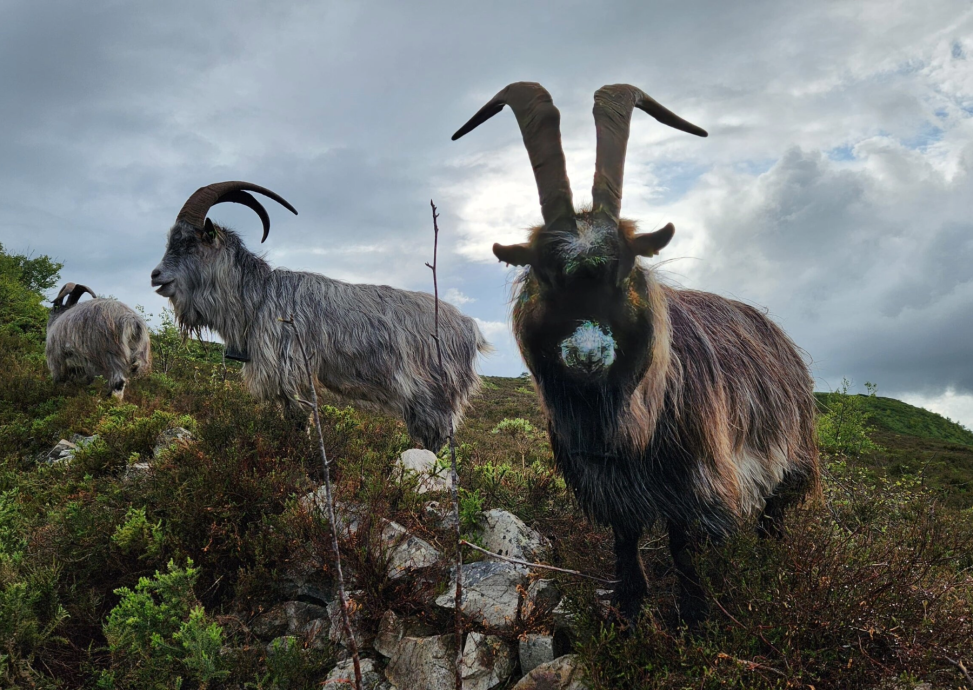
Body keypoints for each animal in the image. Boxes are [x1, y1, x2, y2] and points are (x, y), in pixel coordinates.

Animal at [150, 182, 489, 451]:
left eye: (190, 242)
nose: (156, 276)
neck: (258, 297)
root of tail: (469, 328)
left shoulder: (289, 368)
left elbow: (298, 419)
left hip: (433, 394)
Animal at [453, 83, 819, 626]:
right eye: (543, 271)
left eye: (624, 270)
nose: (588, 355)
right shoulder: (606, 480)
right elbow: (625, 538)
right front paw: (628, 604)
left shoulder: (693, 478)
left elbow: (683, 544)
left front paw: (693, 616)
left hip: (791, 457)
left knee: (773, 515)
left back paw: (766, 562)